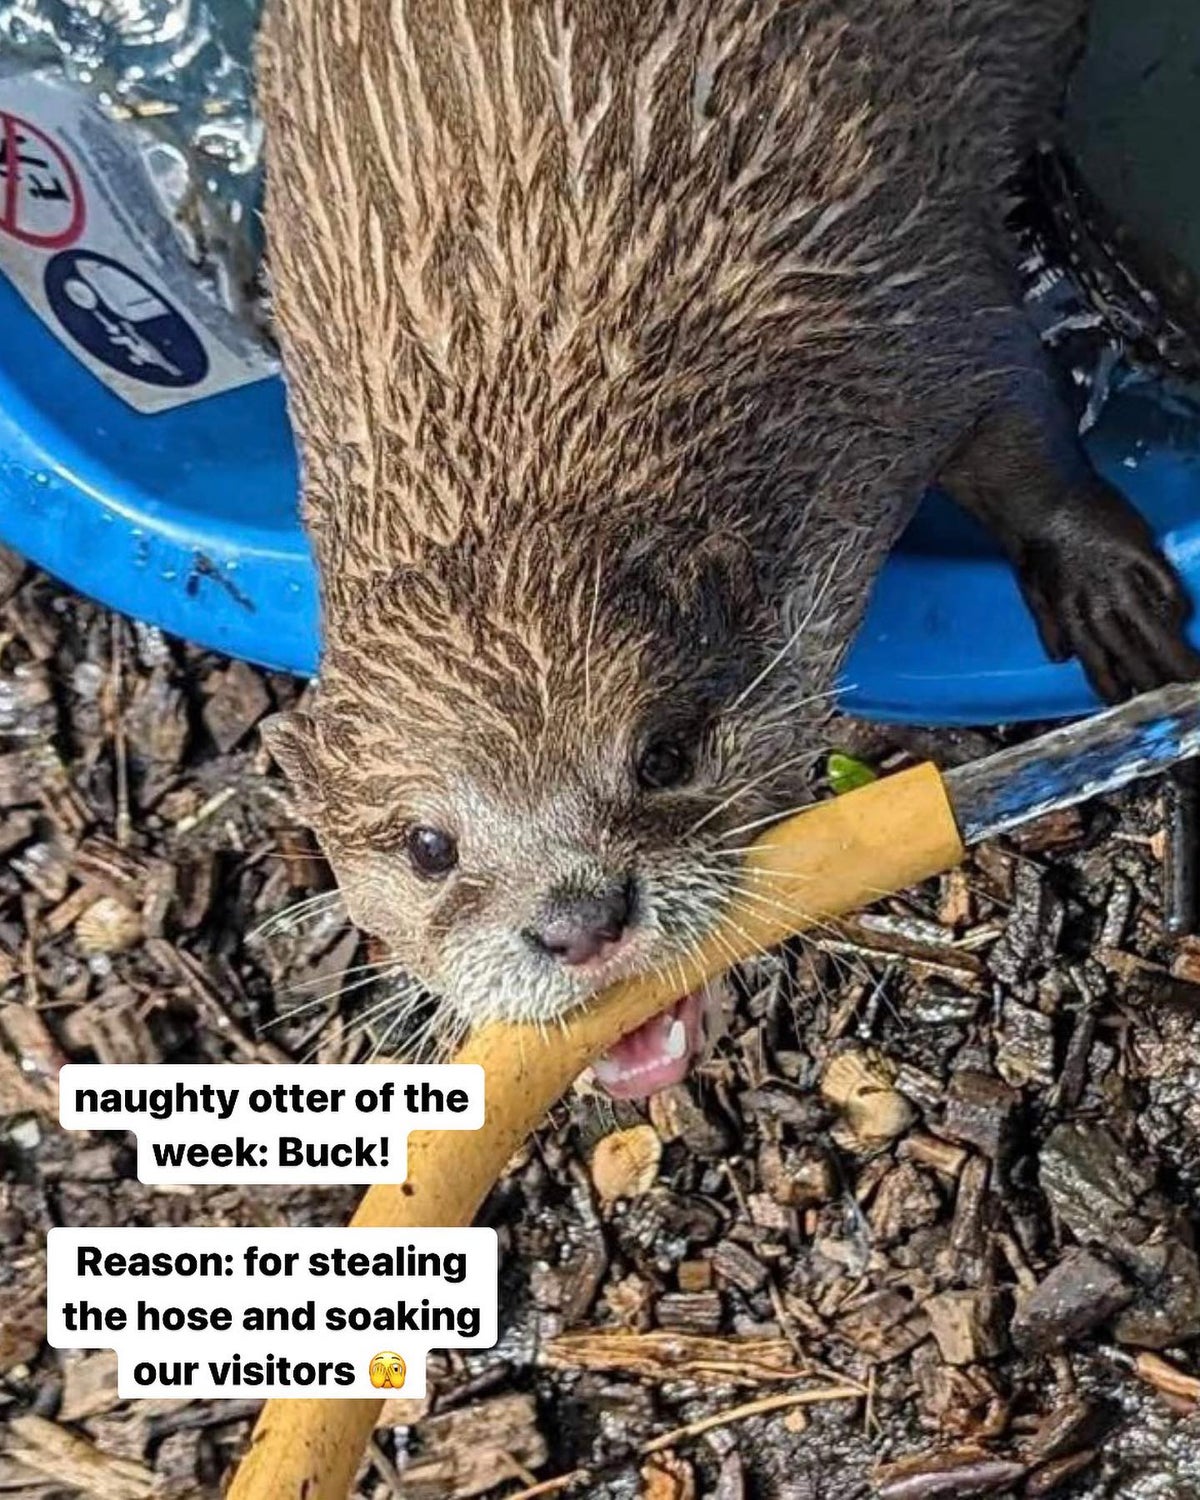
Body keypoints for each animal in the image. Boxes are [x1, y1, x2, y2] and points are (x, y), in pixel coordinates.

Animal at [256, 0, 1199, 1098]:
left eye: (663, 754)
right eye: (426, 845)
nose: (579, 921)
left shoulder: (906, 309)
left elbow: (1019, 429)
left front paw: (1110, 602)